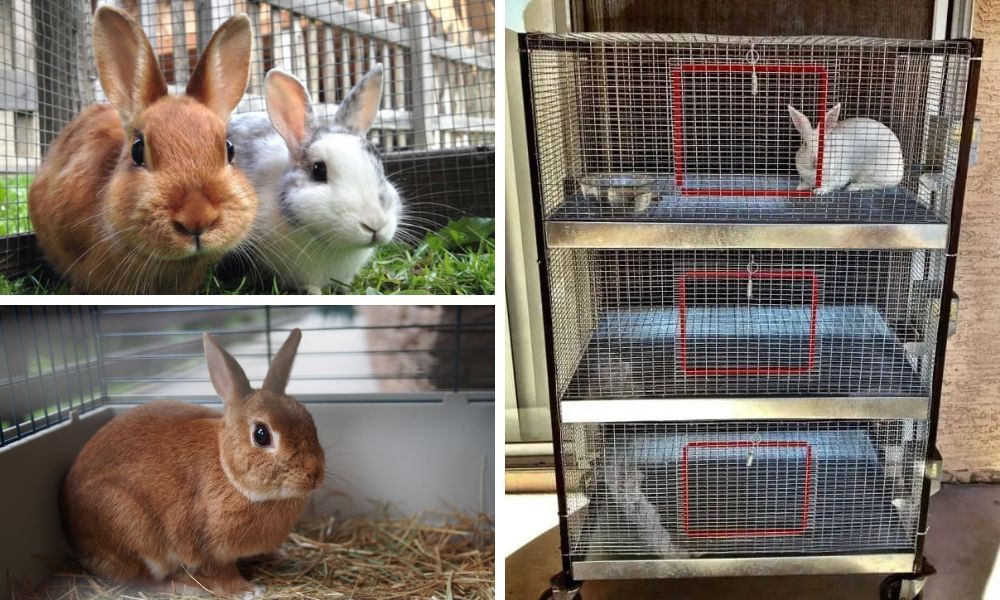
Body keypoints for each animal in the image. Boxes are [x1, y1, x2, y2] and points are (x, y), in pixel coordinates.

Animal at [60, 329, 324, 598]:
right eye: (261, 435)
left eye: (310, 420)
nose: (314, 474)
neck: (229, 474)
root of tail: (74, 540)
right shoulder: (203, 545)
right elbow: (222, 572)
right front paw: (246, 591)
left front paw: (279, 553)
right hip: (130, 526)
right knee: (144, 580)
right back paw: (185, 586)